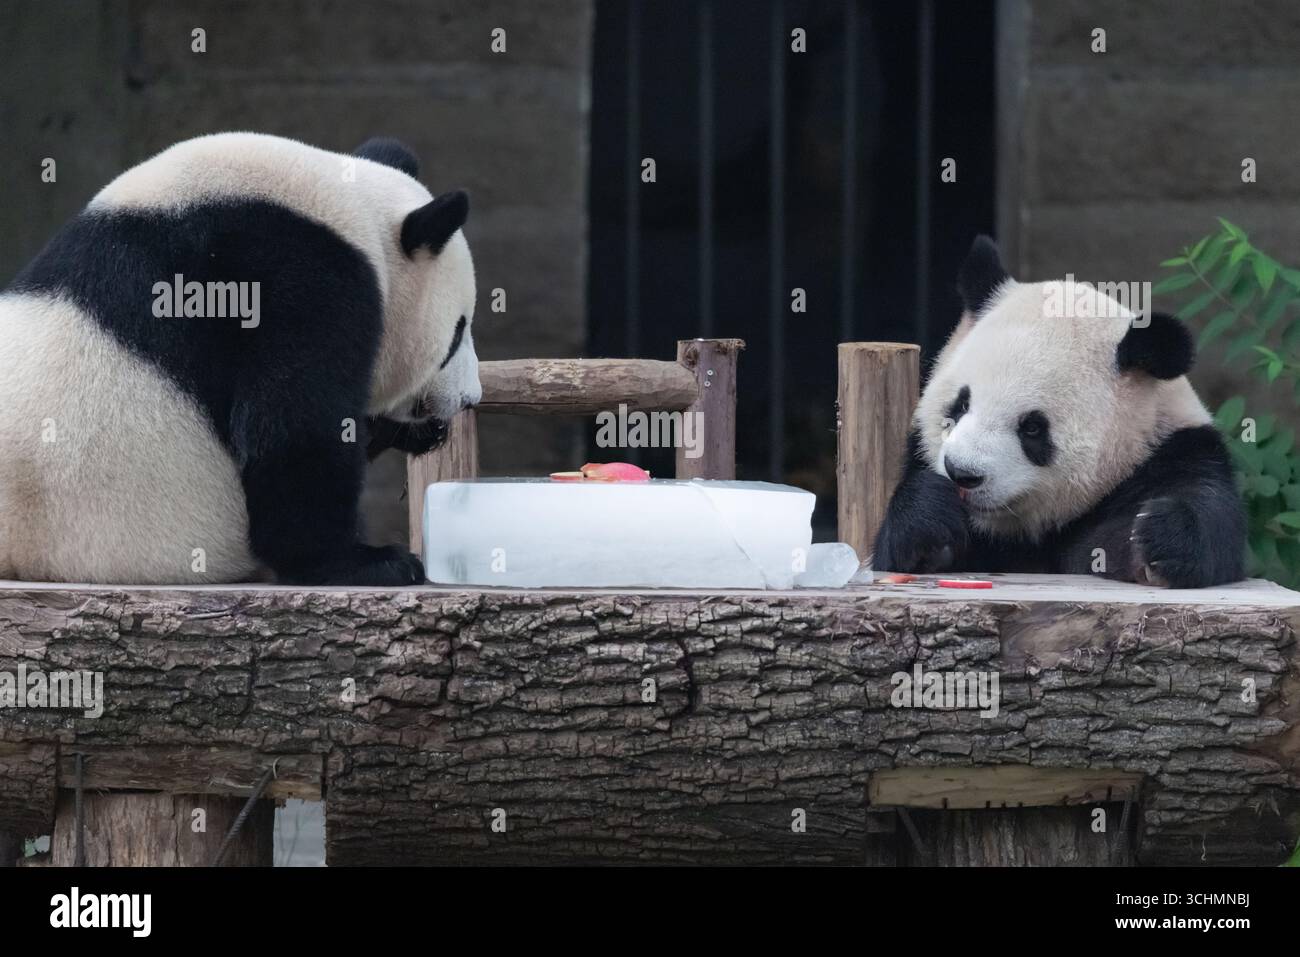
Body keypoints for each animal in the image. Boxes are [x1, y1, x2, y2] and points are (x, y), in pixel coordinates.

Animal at [0, 132, 480, 585]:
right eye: (457, 332)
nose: (468, 399)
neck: (355, 211)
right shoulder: (292, 279)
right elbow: (295, 426)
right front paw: (364, 562)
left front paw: (415, 432)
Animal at [873, 236, 1246, 588]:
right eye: (961, 404)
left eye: (1032, 428)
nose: (961, 473)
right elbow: (890, 552)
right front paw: (930, 519)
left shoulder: (1172, 452)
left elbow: (1205, 512)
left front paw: (1160, 540)